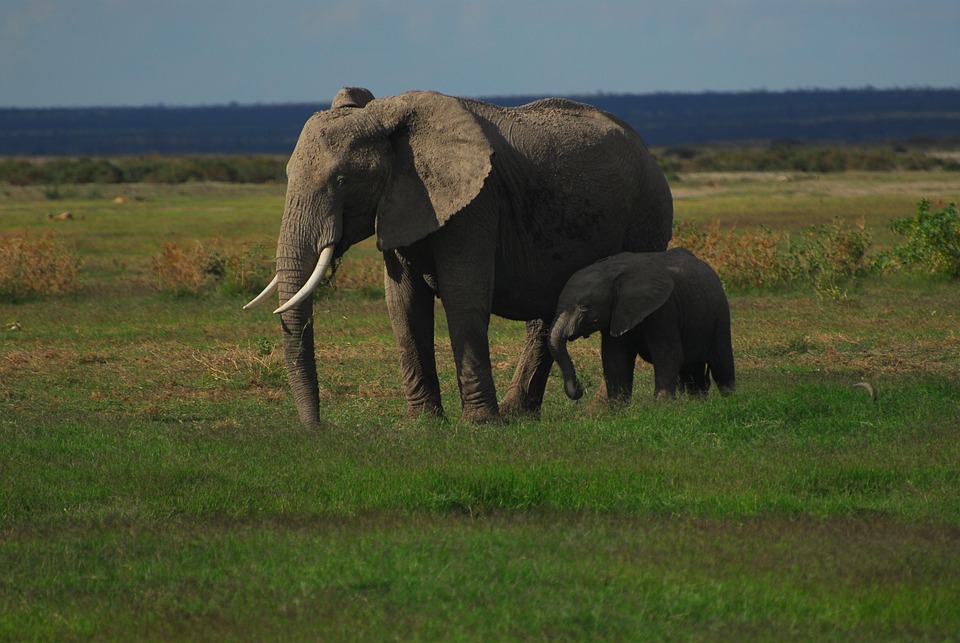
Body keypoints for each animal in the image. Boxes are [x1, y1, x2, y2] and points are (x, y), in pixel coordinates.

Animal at [245, 87, 674, 426]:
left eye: (341, 180)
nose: (317, 429)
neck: (386, 115)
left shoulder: (476, 203)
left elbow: (463, 296)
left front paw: (479, 425)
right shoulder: (402, 205)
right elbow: (403, 305)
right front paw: (422, 425)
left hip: (647, 215)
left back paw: (603, 411)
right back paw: (520, 414)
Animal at [549, 247, 735, 403]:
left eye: (584, 307)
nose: (580, 388)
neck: (611, 272)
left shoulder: (663, 309)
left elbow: (668, 353)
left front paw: (663, 407)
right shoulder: (616, 314)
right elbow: (615, 359)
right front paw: (618, 411)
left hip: (720, 315)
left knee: (721, 363)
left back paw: (730, 399)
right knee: (692, 371)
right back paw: (698, 403)